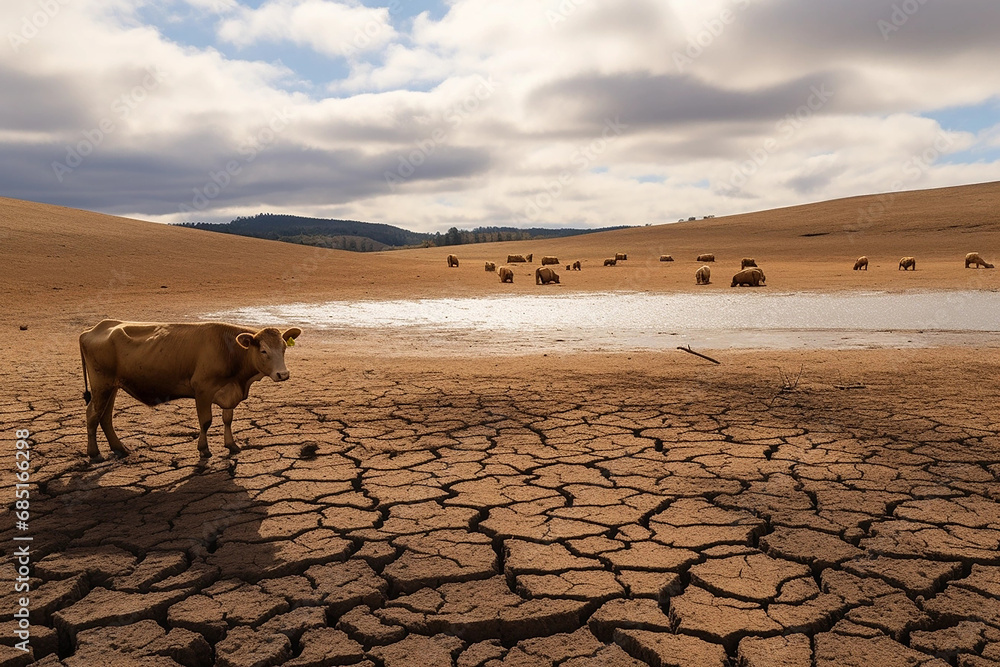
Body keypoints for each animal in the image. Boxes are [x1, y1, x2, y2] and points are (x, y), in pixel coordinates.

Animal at [79, 320, 301, 460]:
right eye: (263, 351)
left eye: (284, 348)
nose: (283, 374)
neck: (229, 350)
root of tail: (94, 329)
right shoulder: (202, 389)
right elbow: (206, 422)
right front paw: (204, 449)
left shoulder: (228, 391)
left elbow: (227, 419)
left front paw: (231, 445)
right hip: (101, 385)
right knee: (92, 414)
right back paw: (95, 454)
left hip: (111, 387)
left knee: (105, 416)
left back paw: (119, 449)